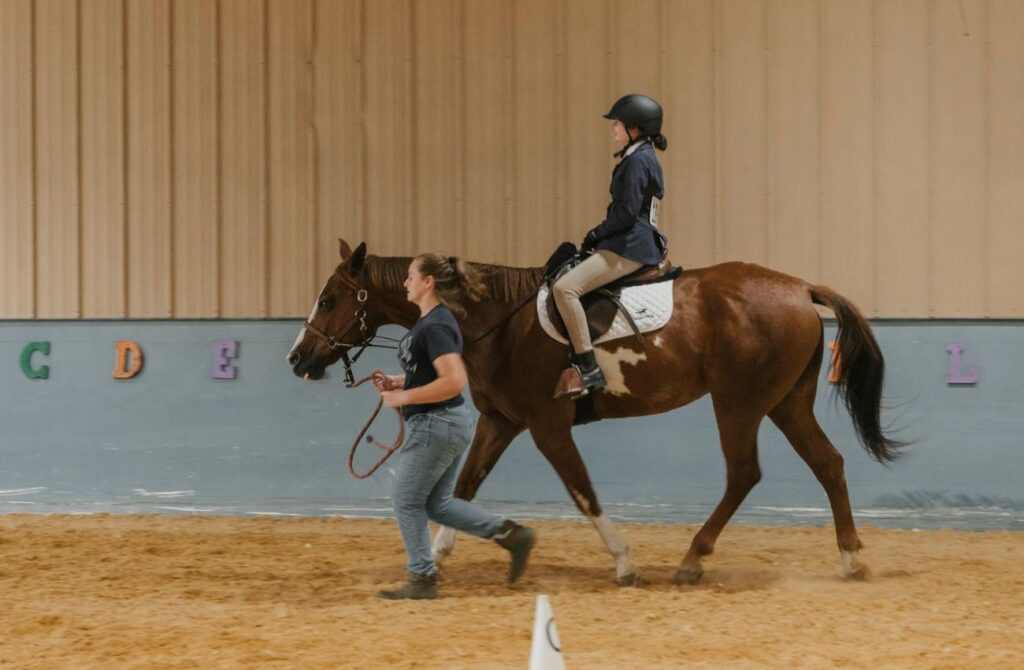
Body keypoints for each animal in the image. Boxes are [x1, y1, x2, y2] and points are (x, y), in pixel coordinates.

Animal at [287, 239, 903, 586]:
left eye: (329, 299)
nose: (297, 358)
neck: (498, 321)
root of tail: (800, 288)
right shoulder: (500, 422)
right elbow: (464, 486)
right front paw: (437, 558)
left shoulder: (546, 426)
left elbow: (582, 492)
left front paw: (625, 563)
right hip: (784, 403)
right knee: (828, 464)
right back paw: (852, 560)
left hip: (740, 403)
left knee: (744, 474)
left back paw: (693, 560)